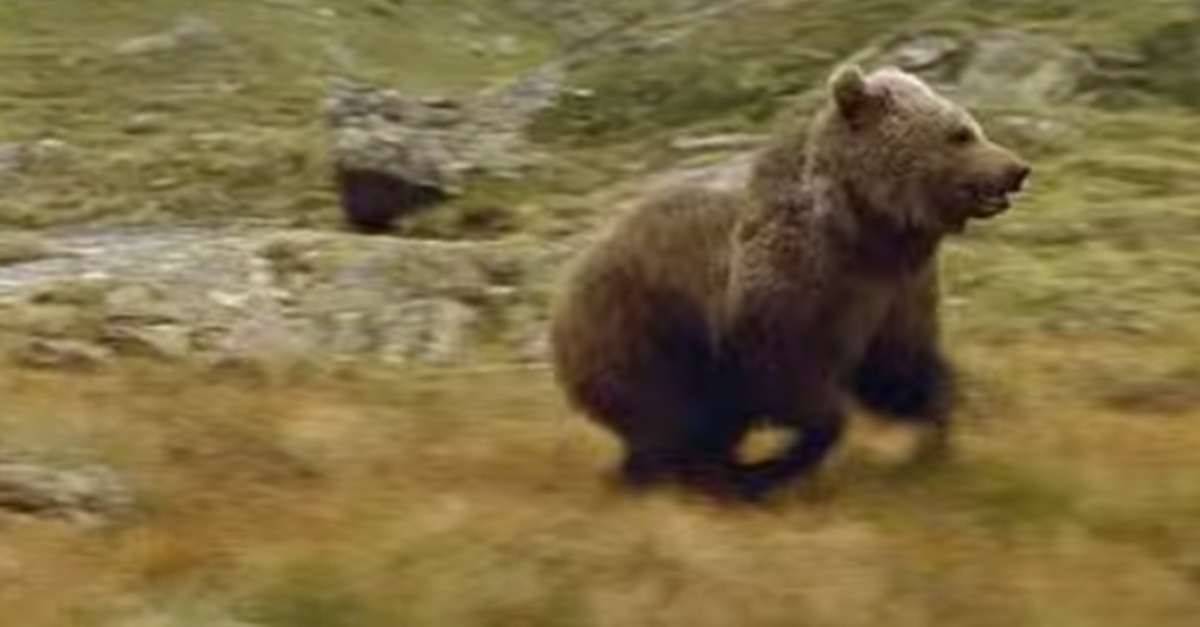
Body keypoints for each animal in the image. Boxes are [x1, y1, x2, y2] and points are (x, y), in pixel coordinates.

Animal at [547, 63, 1031, 501]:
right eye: (960, 134)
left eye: (971, 126)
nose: (1018, 169)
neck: (868, 231)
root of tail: (573, 275)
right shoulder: (796, 294)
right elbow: (797, 383)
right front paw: (777, 467)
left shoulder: (893, 293)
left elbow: (899, 368)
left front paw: (934, 439)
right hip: (645, 332)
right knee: (669, 420)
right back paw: (687, 479)